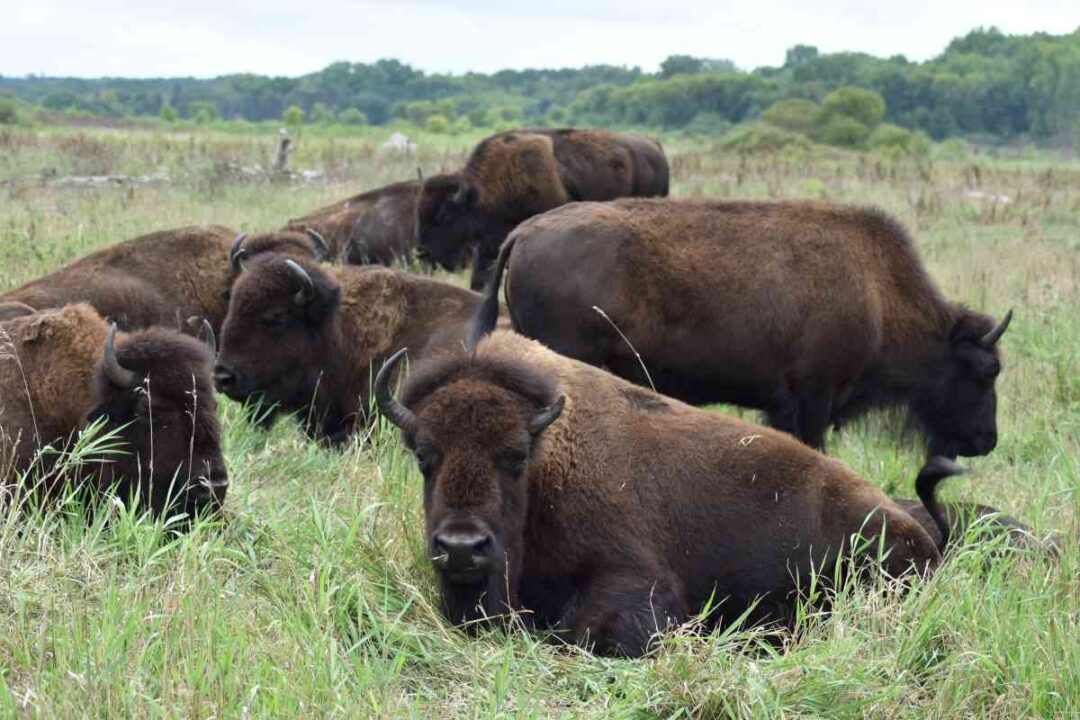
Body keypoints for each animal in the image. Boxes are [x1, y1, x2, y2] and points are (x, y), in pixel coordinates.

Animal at [373, 327, 1023, 656]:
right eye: (423, 455)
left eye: (514, 458)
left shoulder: (639, 588)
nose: (462, 547)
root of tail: (921, 535)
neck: (547, 461)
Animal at [479, 199, 1013, 459]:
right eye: (987, 371)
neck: (878, 292)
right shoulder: (812, 396)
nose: (987, 440)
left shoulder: (783, 404)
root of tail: (523, 233)